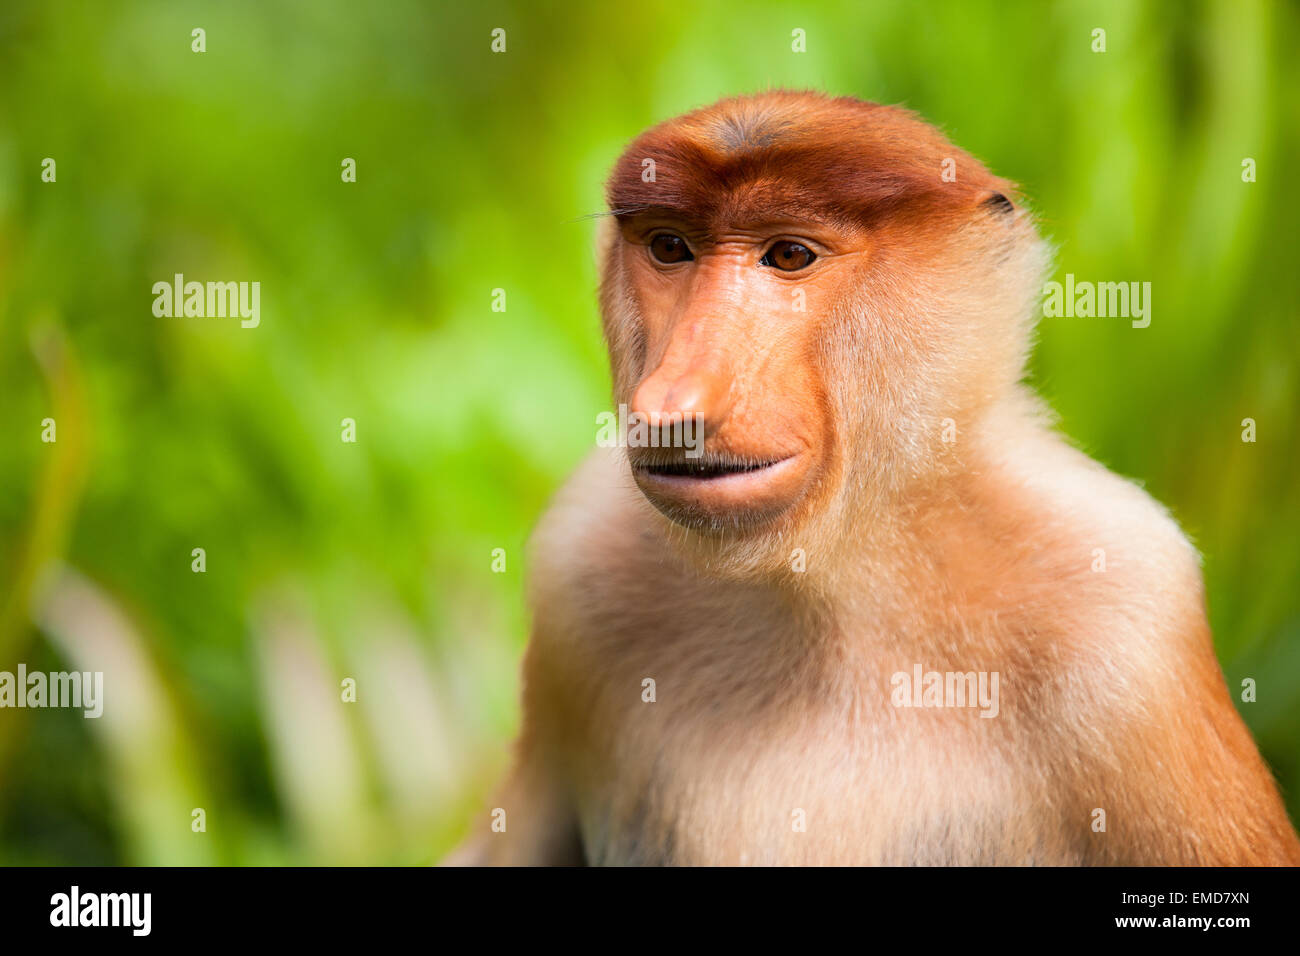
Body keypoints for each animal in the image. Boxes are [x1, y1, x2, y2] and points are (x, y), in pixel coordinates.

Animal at [448, 91, 1300, 866]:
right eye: (669, 247)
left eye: (789, 255)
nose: (672, 402)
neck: (834, 575)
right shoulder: (577, 566)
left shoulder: (1129, 626)